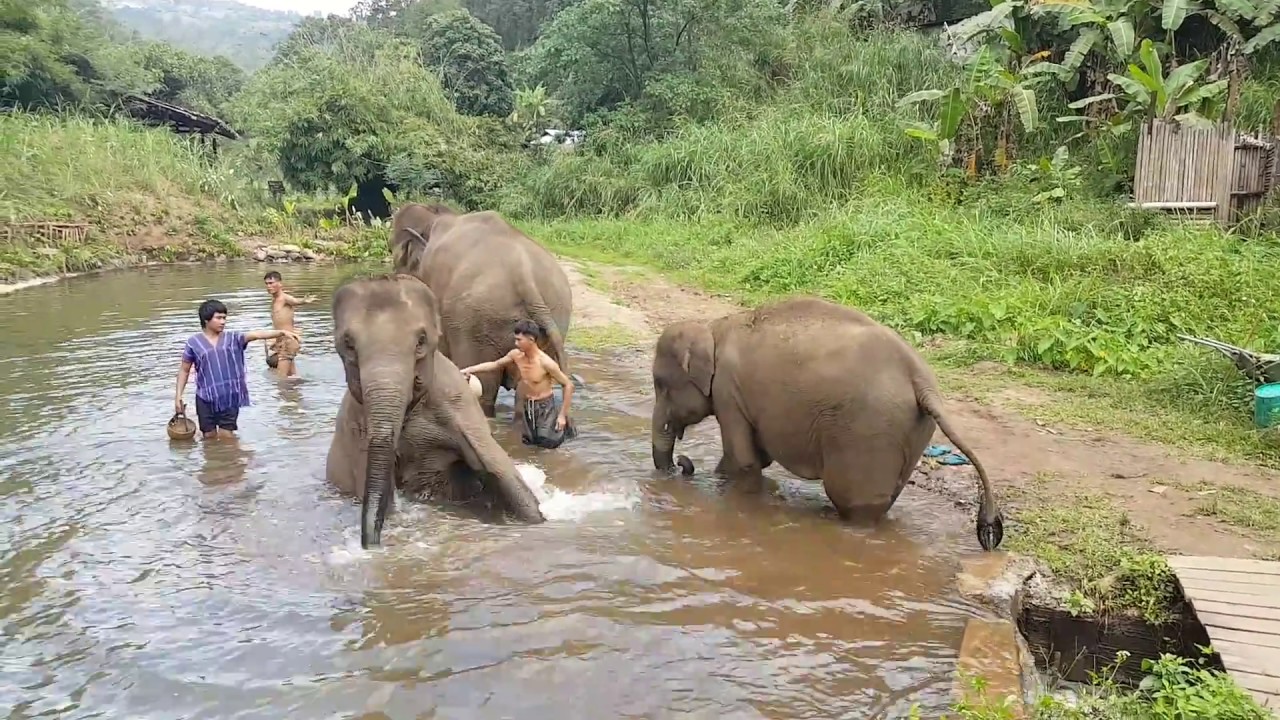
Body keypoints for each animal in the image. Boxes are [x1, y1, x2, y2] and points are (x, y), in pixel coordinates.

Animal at [648, 296, 1005, 551]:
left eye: (660, 384)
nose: (682, 464)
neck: (712, 328)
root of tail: (920, 380)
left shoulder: (727, 390)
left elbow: (744, 459)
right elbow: (755, 458)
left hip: (867, 431)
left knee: (852, 497)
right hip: (910, 431)